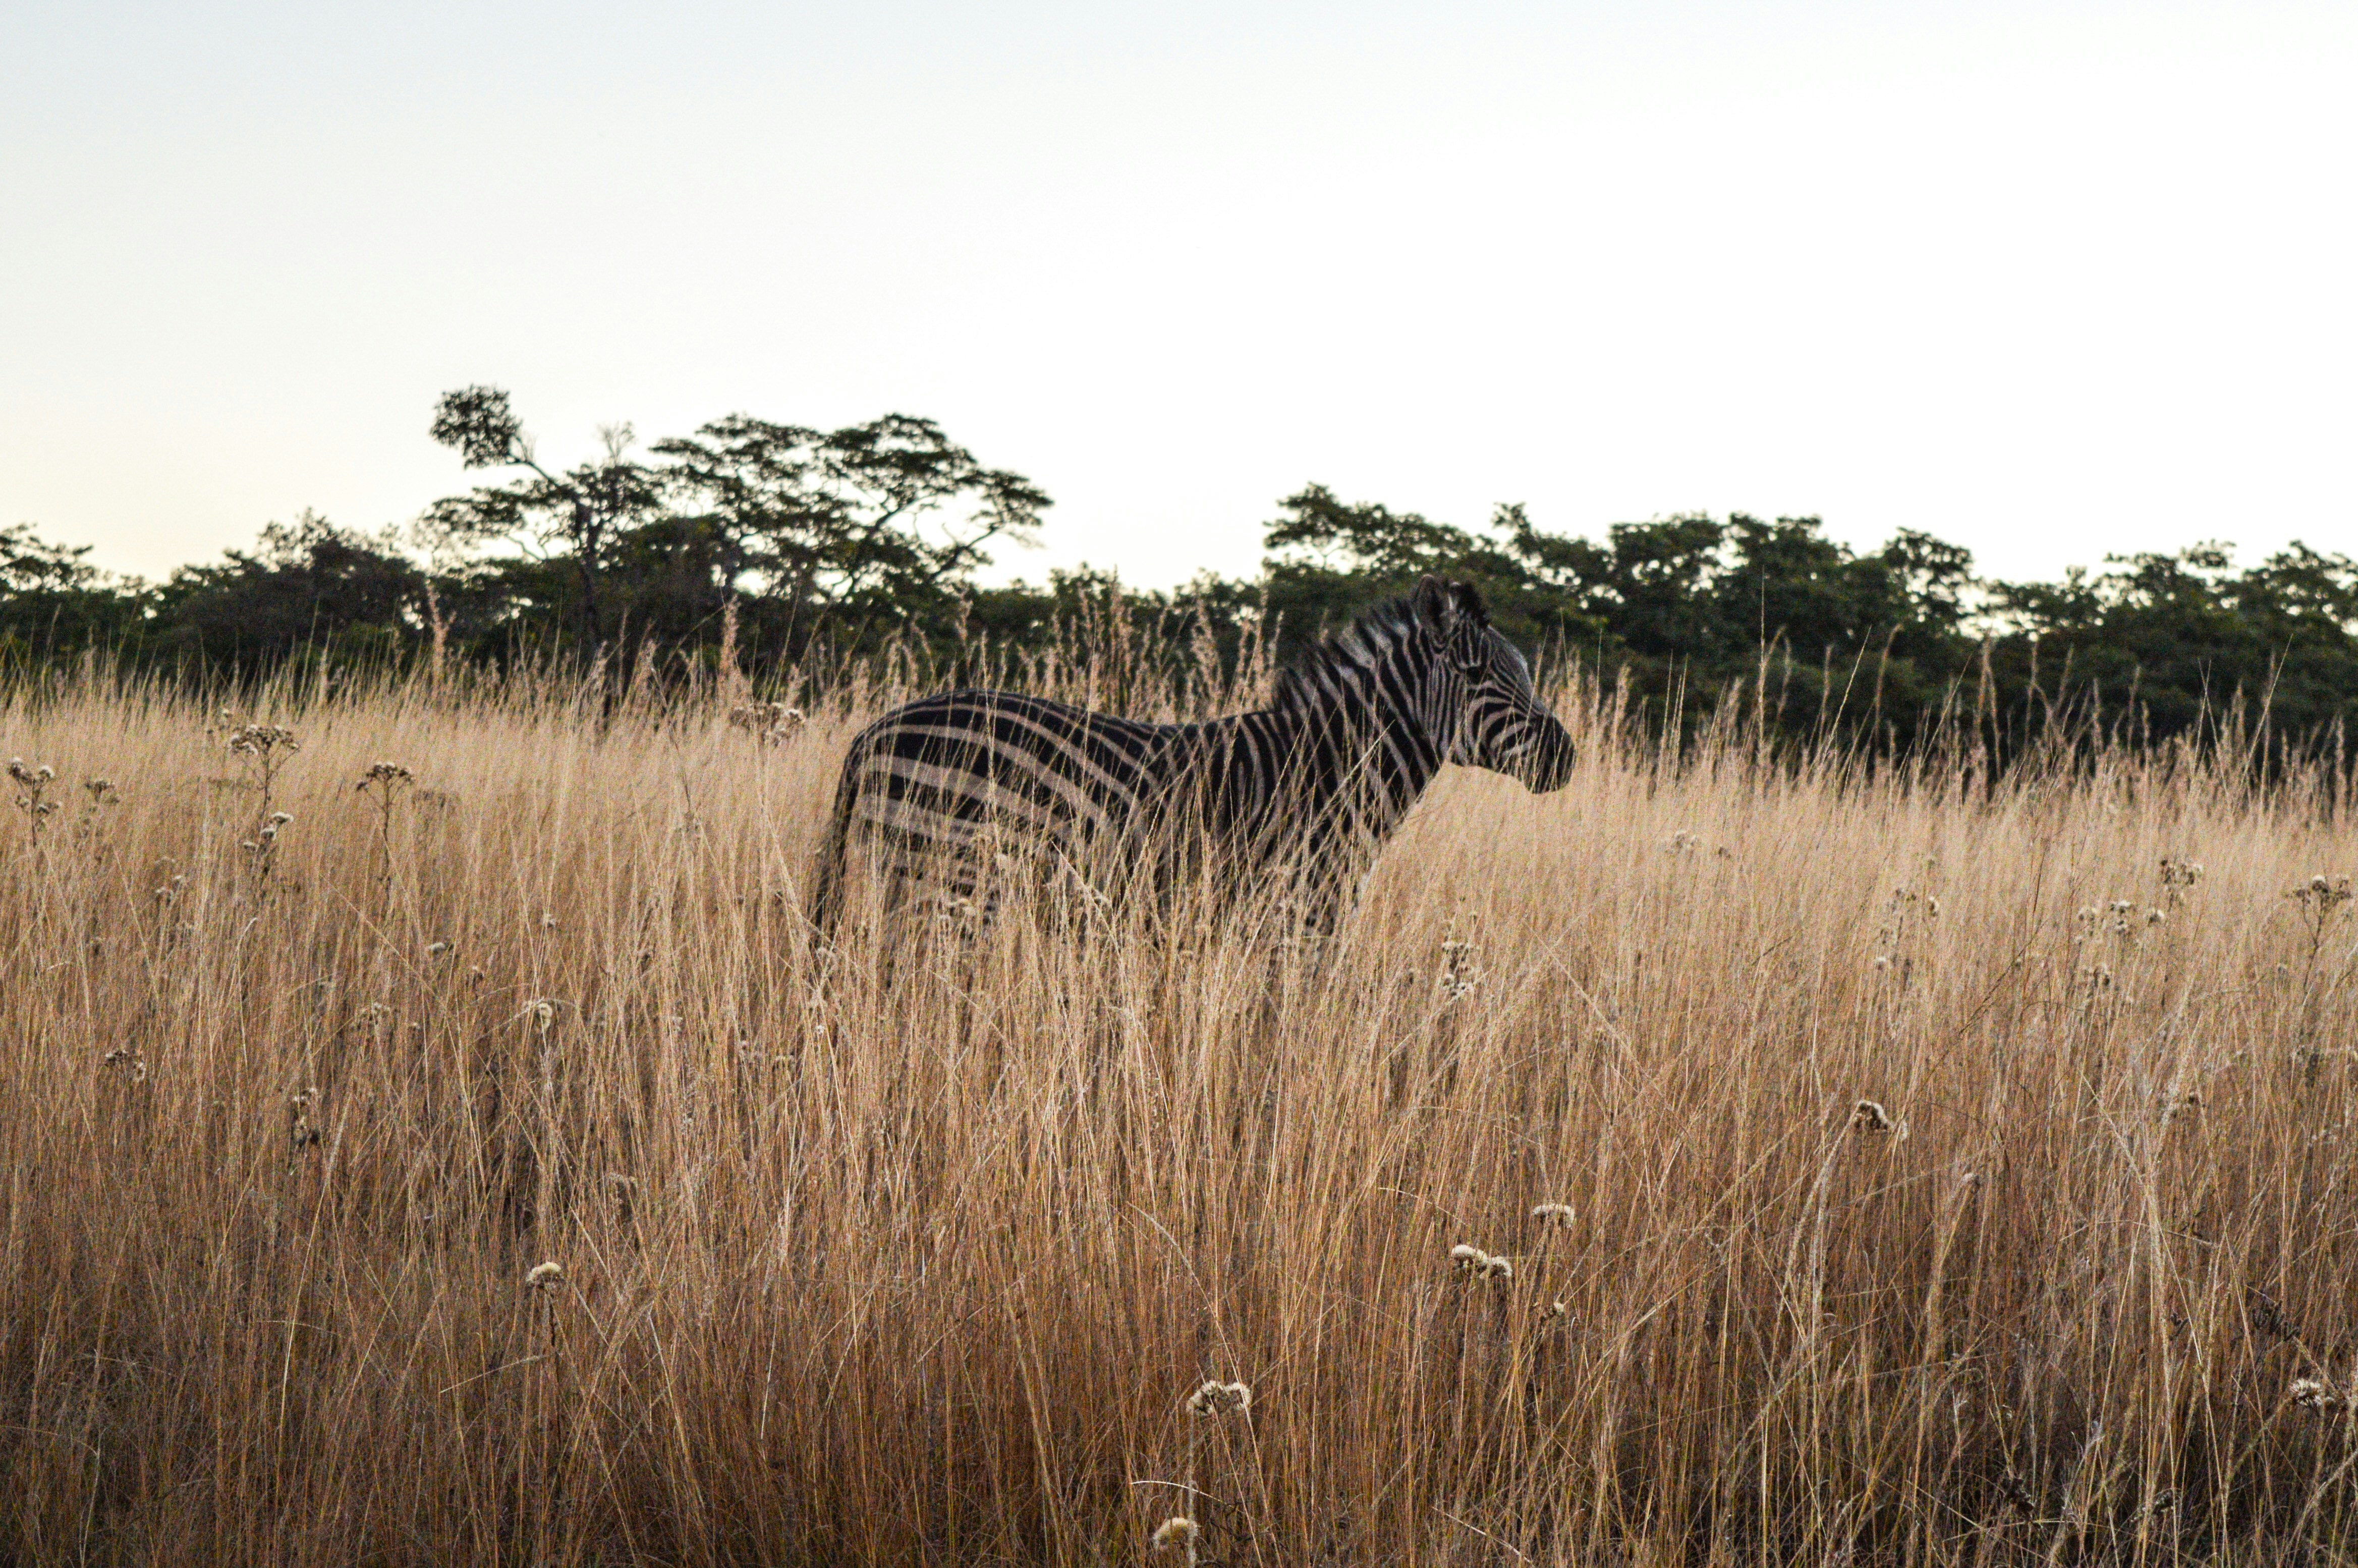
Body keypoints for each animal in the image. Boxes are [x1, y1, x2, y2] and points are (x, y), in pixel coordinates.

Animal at [808, 575, 1575, 938]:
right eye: (1478, 676)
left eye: (1524, 671)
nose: (1566, 758)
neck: (1329, 769)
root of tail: (875, 730)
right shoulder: (1300, 917)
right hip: (953, 884)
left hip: (915, 883)